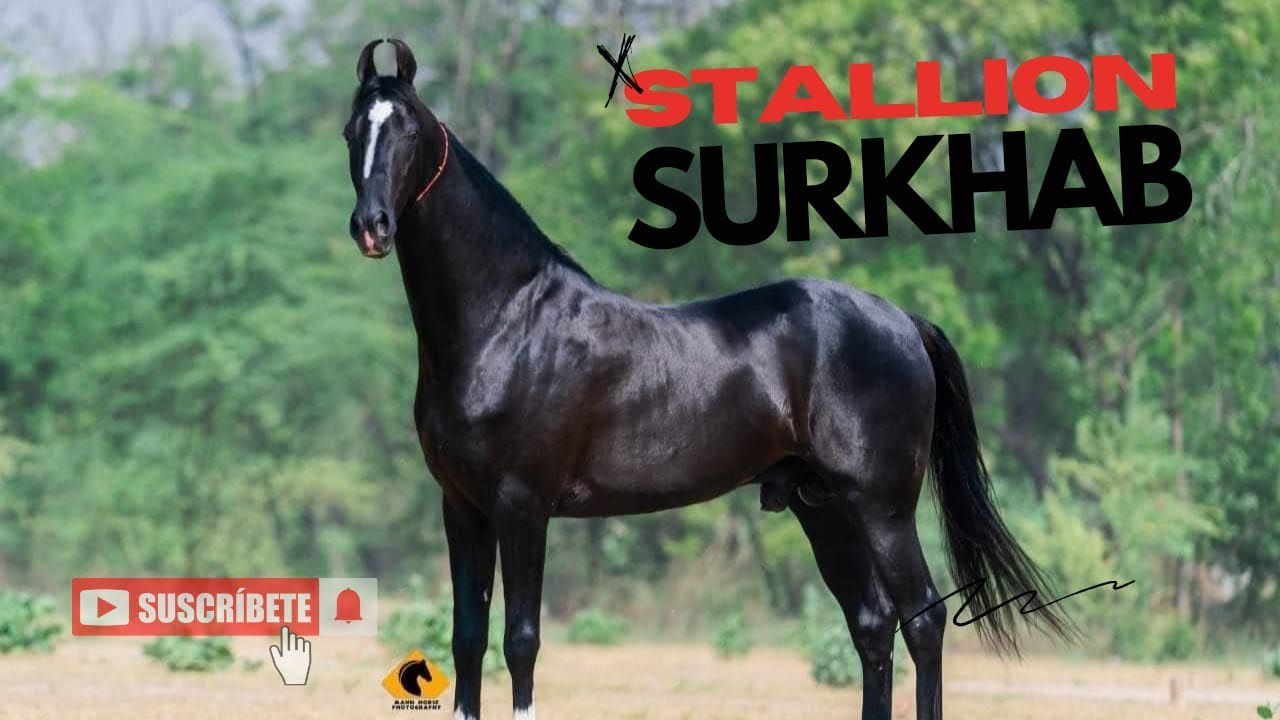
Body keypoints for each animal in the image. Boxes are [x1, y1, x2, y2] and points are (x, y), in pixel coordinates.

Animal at [341, 38, 1072, 720]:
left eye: (409, 129)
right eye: (353, 130)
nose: (371, 227)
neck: (508, 320)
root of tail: (901, 321)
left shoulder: (523, 505)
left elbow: (520, 641)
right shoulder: (462, 507)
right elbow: (467, 640)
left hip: (883, 506)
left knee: (922, 619)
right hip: (823, 506)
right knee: (872, 625)